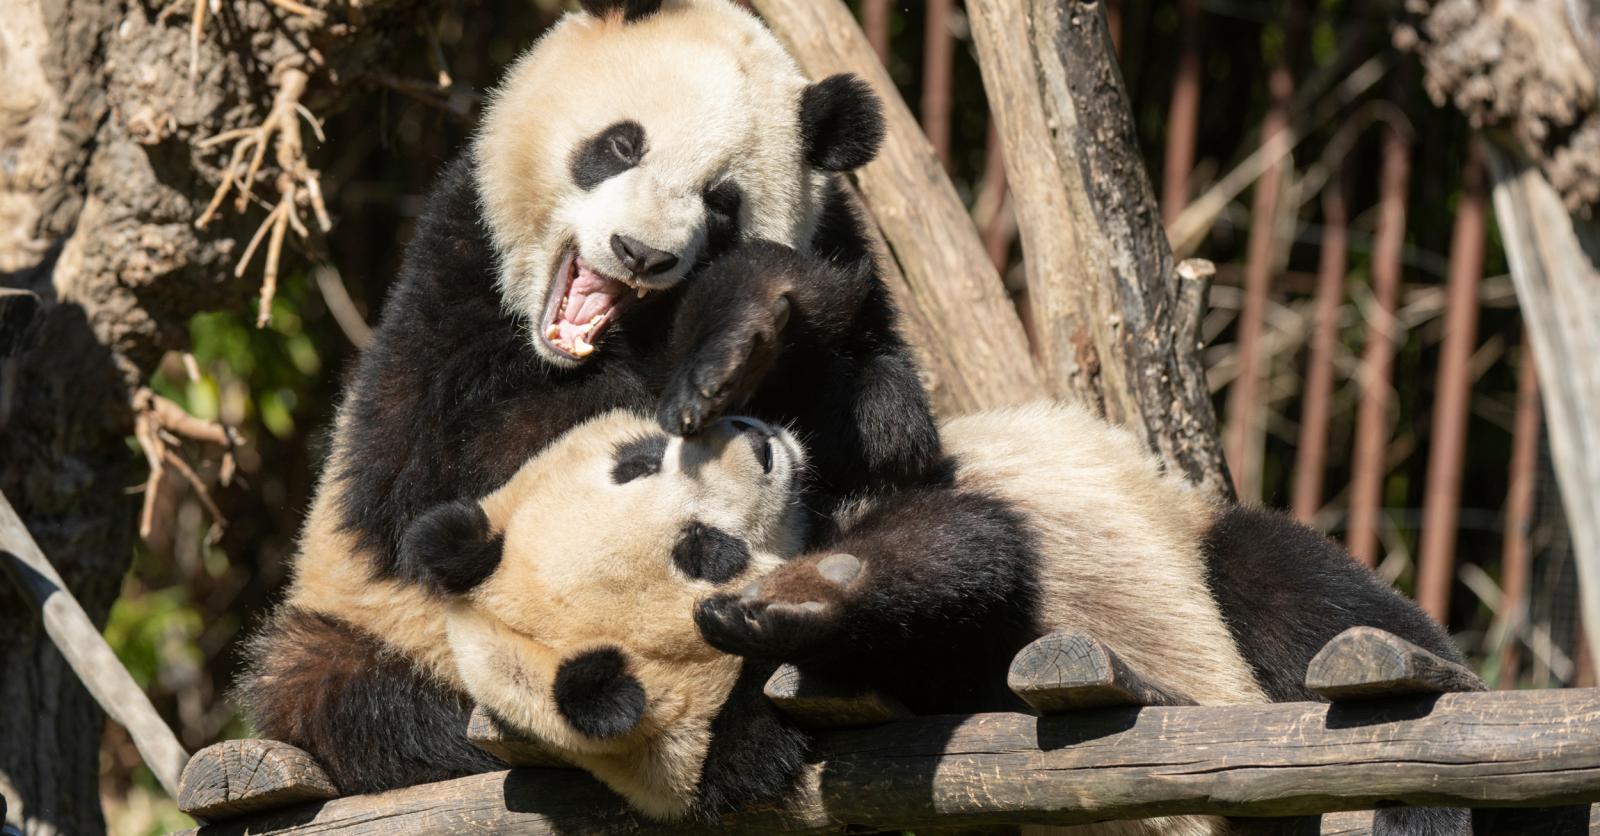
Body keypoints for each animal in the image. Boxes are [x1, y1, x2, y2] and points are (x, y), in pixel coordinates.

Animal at [240, 0, 943, 797]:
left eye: (722, 202)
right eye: (620, 144)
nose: (642, 253)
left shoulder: (846, 258)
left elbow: (892, 428)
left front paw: (746, 334)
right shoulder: (447, 277)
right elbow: (428, 476)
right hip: (359, 623)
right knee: (331, 684)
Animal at [404, 401, 1471, 834]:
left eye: (634, 460)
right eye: (702, 551)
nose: (751, 436)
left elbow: (961, 529)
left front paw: (813, 589)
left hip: (1193, 540)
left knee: (1295, 591)